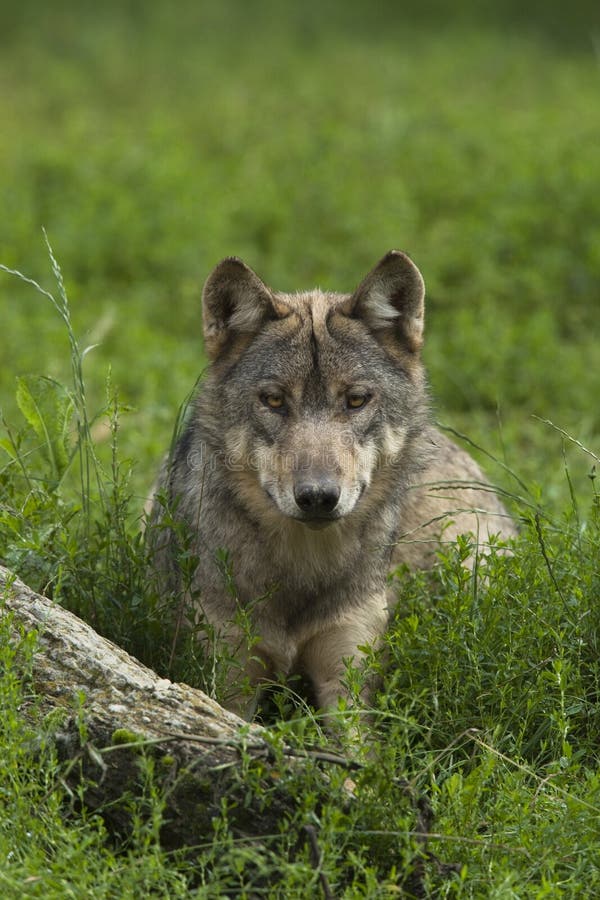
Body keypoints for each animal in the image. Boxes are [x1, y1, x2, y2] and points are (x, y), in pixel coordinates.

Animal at [147, 250, 516, 719]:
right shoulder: (228, 679)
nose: (318, 498)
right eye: (274, 400)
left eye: (356, 400)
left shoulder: (348, 678)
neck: (302, 568)